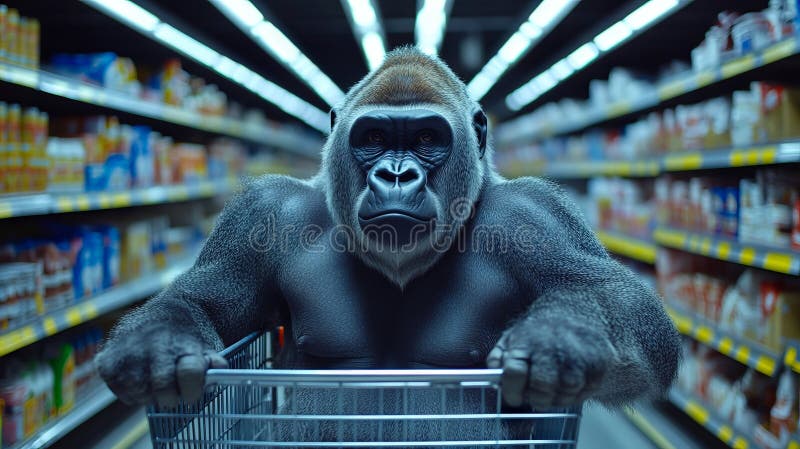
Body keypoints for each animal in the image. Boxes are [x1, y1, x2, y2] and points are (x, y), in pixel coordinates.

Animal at [95, 46, 681, 444]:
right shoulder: (263, 213)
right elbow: (204, 300)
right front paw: (158, 345)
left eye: (426, 140)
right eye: (374, 138)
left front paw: (561, 337)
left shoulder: (537, 214)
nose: (395, 175)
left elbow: (614, 297)